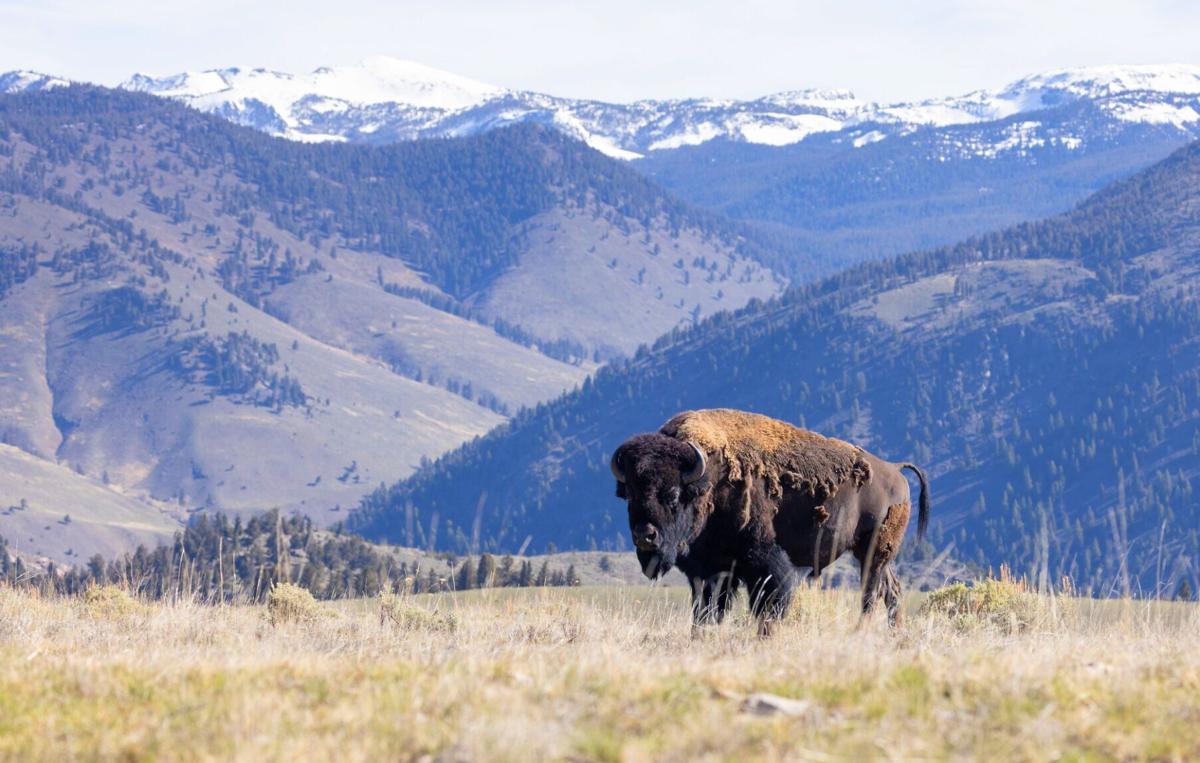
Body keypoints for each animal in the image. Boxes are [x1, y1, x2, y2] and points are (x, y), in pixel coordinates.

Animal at [611, 408, 929, 634]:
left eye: (673, 494)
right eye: (631, 495)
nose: (644, 535)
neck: (708, 481)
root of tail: (894, 471)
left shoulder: (764, 564)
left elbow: (769, 606)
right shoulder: (710, 572)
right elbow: (708, 612)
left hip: (872, 552)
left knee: (870, 595)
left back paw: (861, 632)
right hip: (876, 556)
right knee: (892, 591)